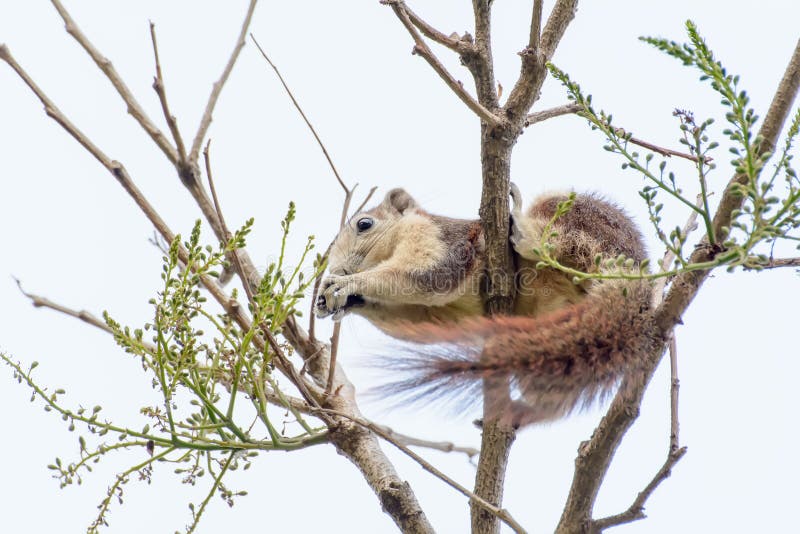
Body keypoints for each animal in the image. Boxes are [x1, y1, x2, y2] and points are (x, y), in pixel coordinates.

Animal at [314, 186, 656, 426]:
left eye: (364, 224)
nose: (339, 269)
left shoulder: (444, 242)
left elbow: (427, 276)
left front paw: (346, 285)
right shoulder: (430, 313)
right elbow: (417, 318)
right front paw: (338, 301)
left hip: (580, 224)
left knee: (557, 239)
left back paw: (525, 231)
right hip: (558, 348)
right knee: (554, 397)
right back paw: (522, 413)